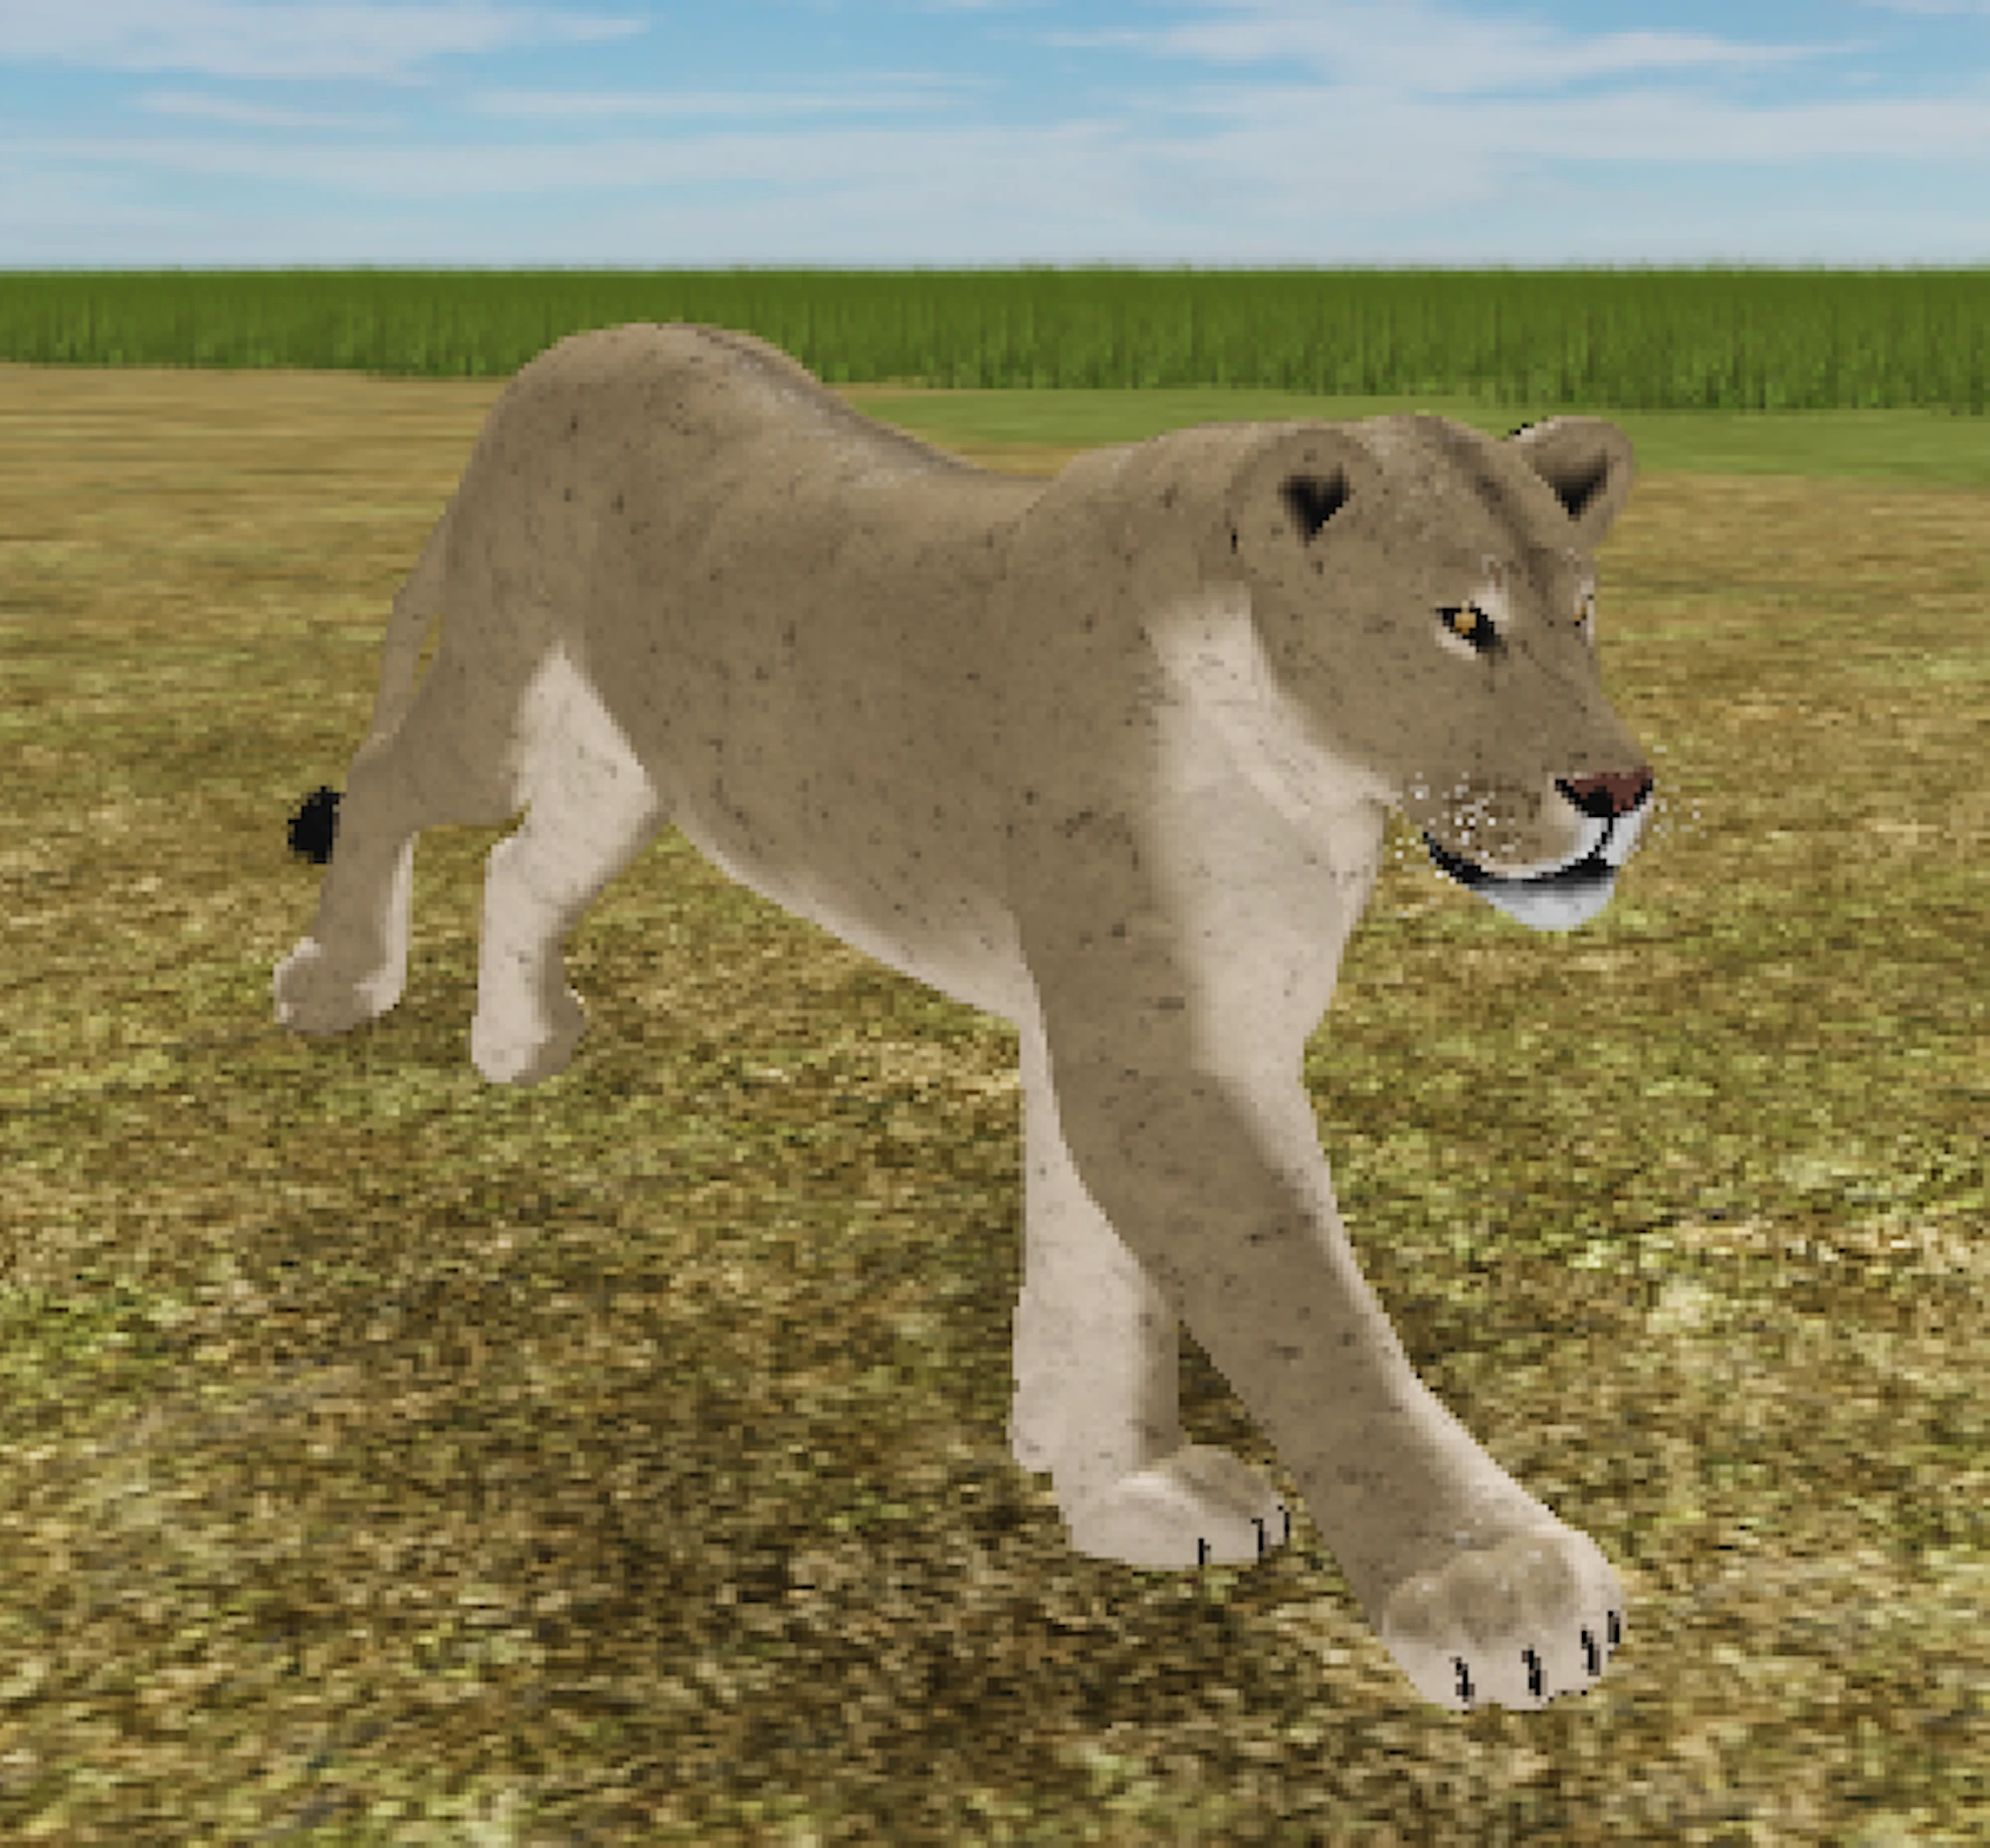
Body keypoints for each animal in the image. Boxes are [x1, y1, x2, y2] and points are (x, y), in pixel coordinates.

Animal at [275, 322, 1653, 1712]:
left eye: (1582, 615)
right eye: (1461, 619)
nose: (1617, 788)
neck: (1305, 768)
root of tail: (579, 342)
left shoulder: (1147, 1027)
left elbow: (1097, 1270)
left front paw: (1110, 1479)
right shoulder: (1162, 1059)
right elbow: (1312, 1320)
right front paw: (1487, 1581)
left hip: (628, 765)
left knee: (520, 863)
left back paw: (517, 1046)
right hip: (501, 687)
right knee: (389, 776)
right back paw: (335, 985)